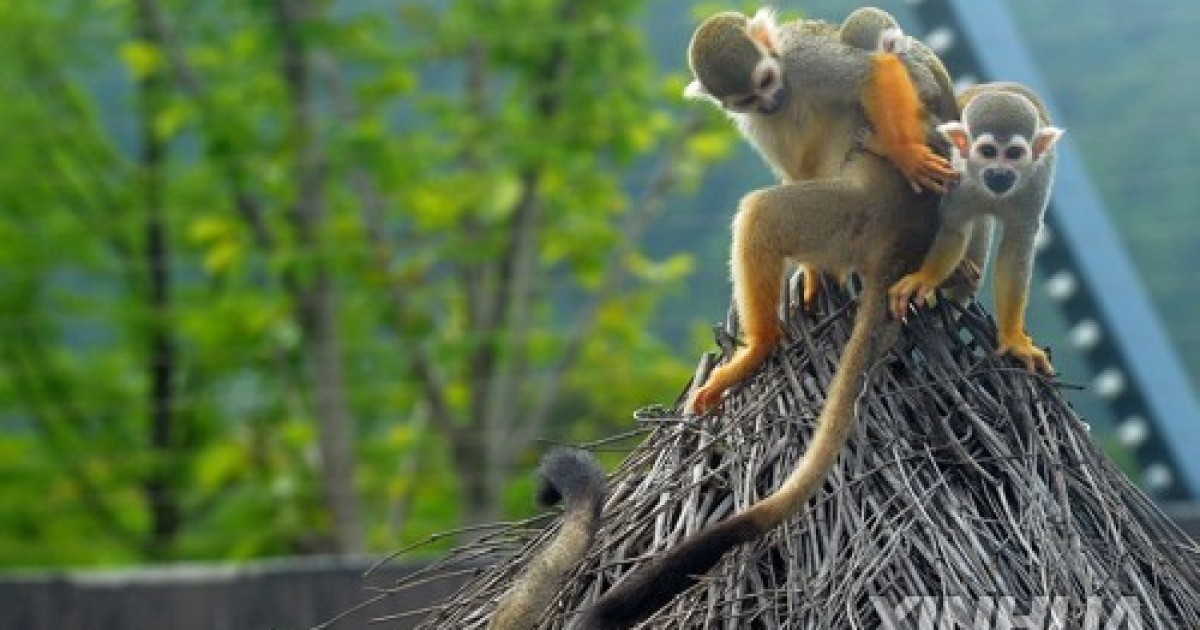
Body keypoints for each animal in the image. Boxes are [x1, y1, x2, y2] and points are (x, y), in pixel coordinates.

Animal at [564, 11, 959, 630]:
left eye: (770, 78)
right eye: (747, 95)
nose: (771, 100)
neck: (786, 83)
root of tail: (899, 240)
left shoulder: (804, 59)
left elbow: (870, 72)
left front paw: (907, 150)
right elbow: (790, 159)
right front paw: (811, 273)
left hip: (861, 211)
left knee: (765, 210)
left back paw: (761, 344)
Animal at [888, 82, 1063, 374]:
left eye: (1013, 154)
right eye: (988, 152)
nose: (999, 173)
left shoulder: (1037, 181)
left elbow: (1017, 244)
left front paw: (1013, 339)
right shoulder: (959, 174)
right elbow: (954, 227)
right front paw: (925, 278)